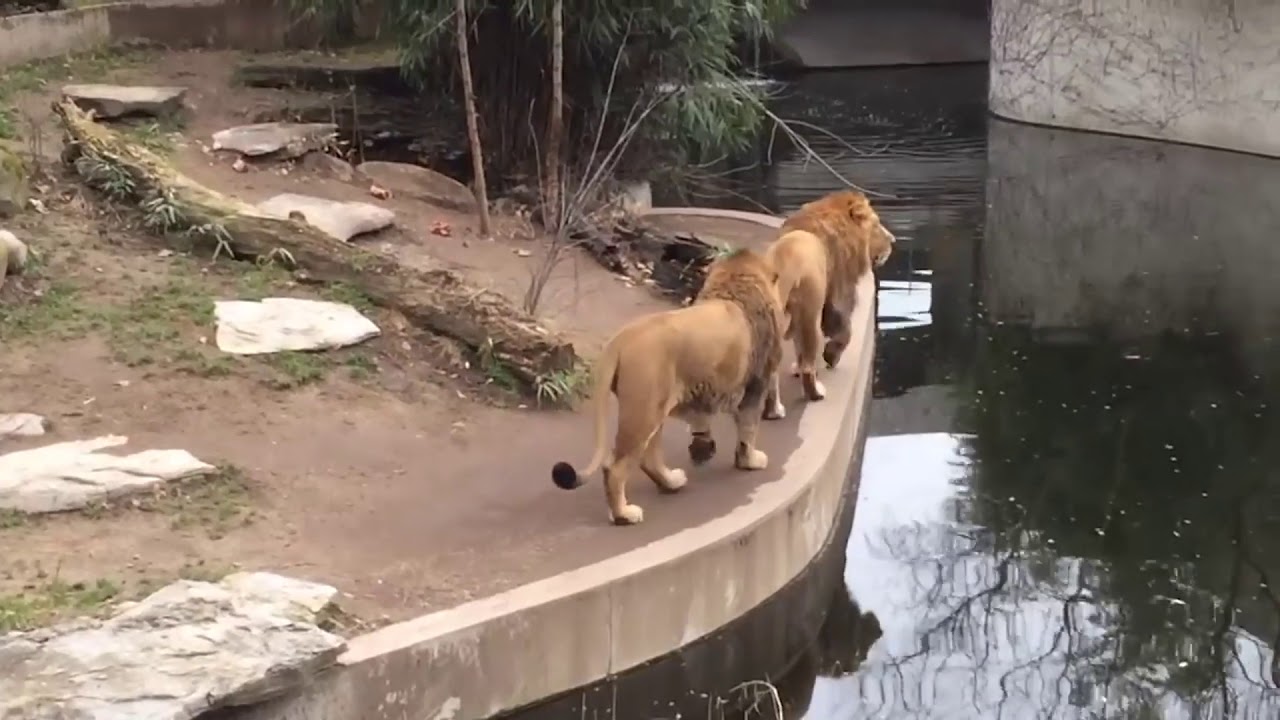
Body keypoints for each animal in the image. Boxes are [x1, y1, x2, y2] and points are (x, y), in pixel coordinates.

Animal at [550, 248, 785, 526]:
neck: (735, 285)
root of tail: (620, 338)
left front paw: (705, 450)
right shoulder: (755, 385)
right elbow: (748, 430)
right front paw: (750, 461)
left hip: (654, 408)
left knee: (648, 459)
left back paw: (672, 482)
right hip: (643, 413)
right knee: (615, 467)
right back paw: (624, 514)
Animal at [762, 190, 895, 418]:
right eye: (877, 224)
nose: (893, 240)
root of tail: (784, 259)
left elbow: (798, 347)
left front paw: (796, 367)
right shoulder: (839, 293)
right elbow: (845, 331)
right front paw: (831, 356)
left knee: (772, 373)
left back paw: (774, 411)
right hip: (810, 315)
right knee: (808, 364)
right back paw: (815, 393)